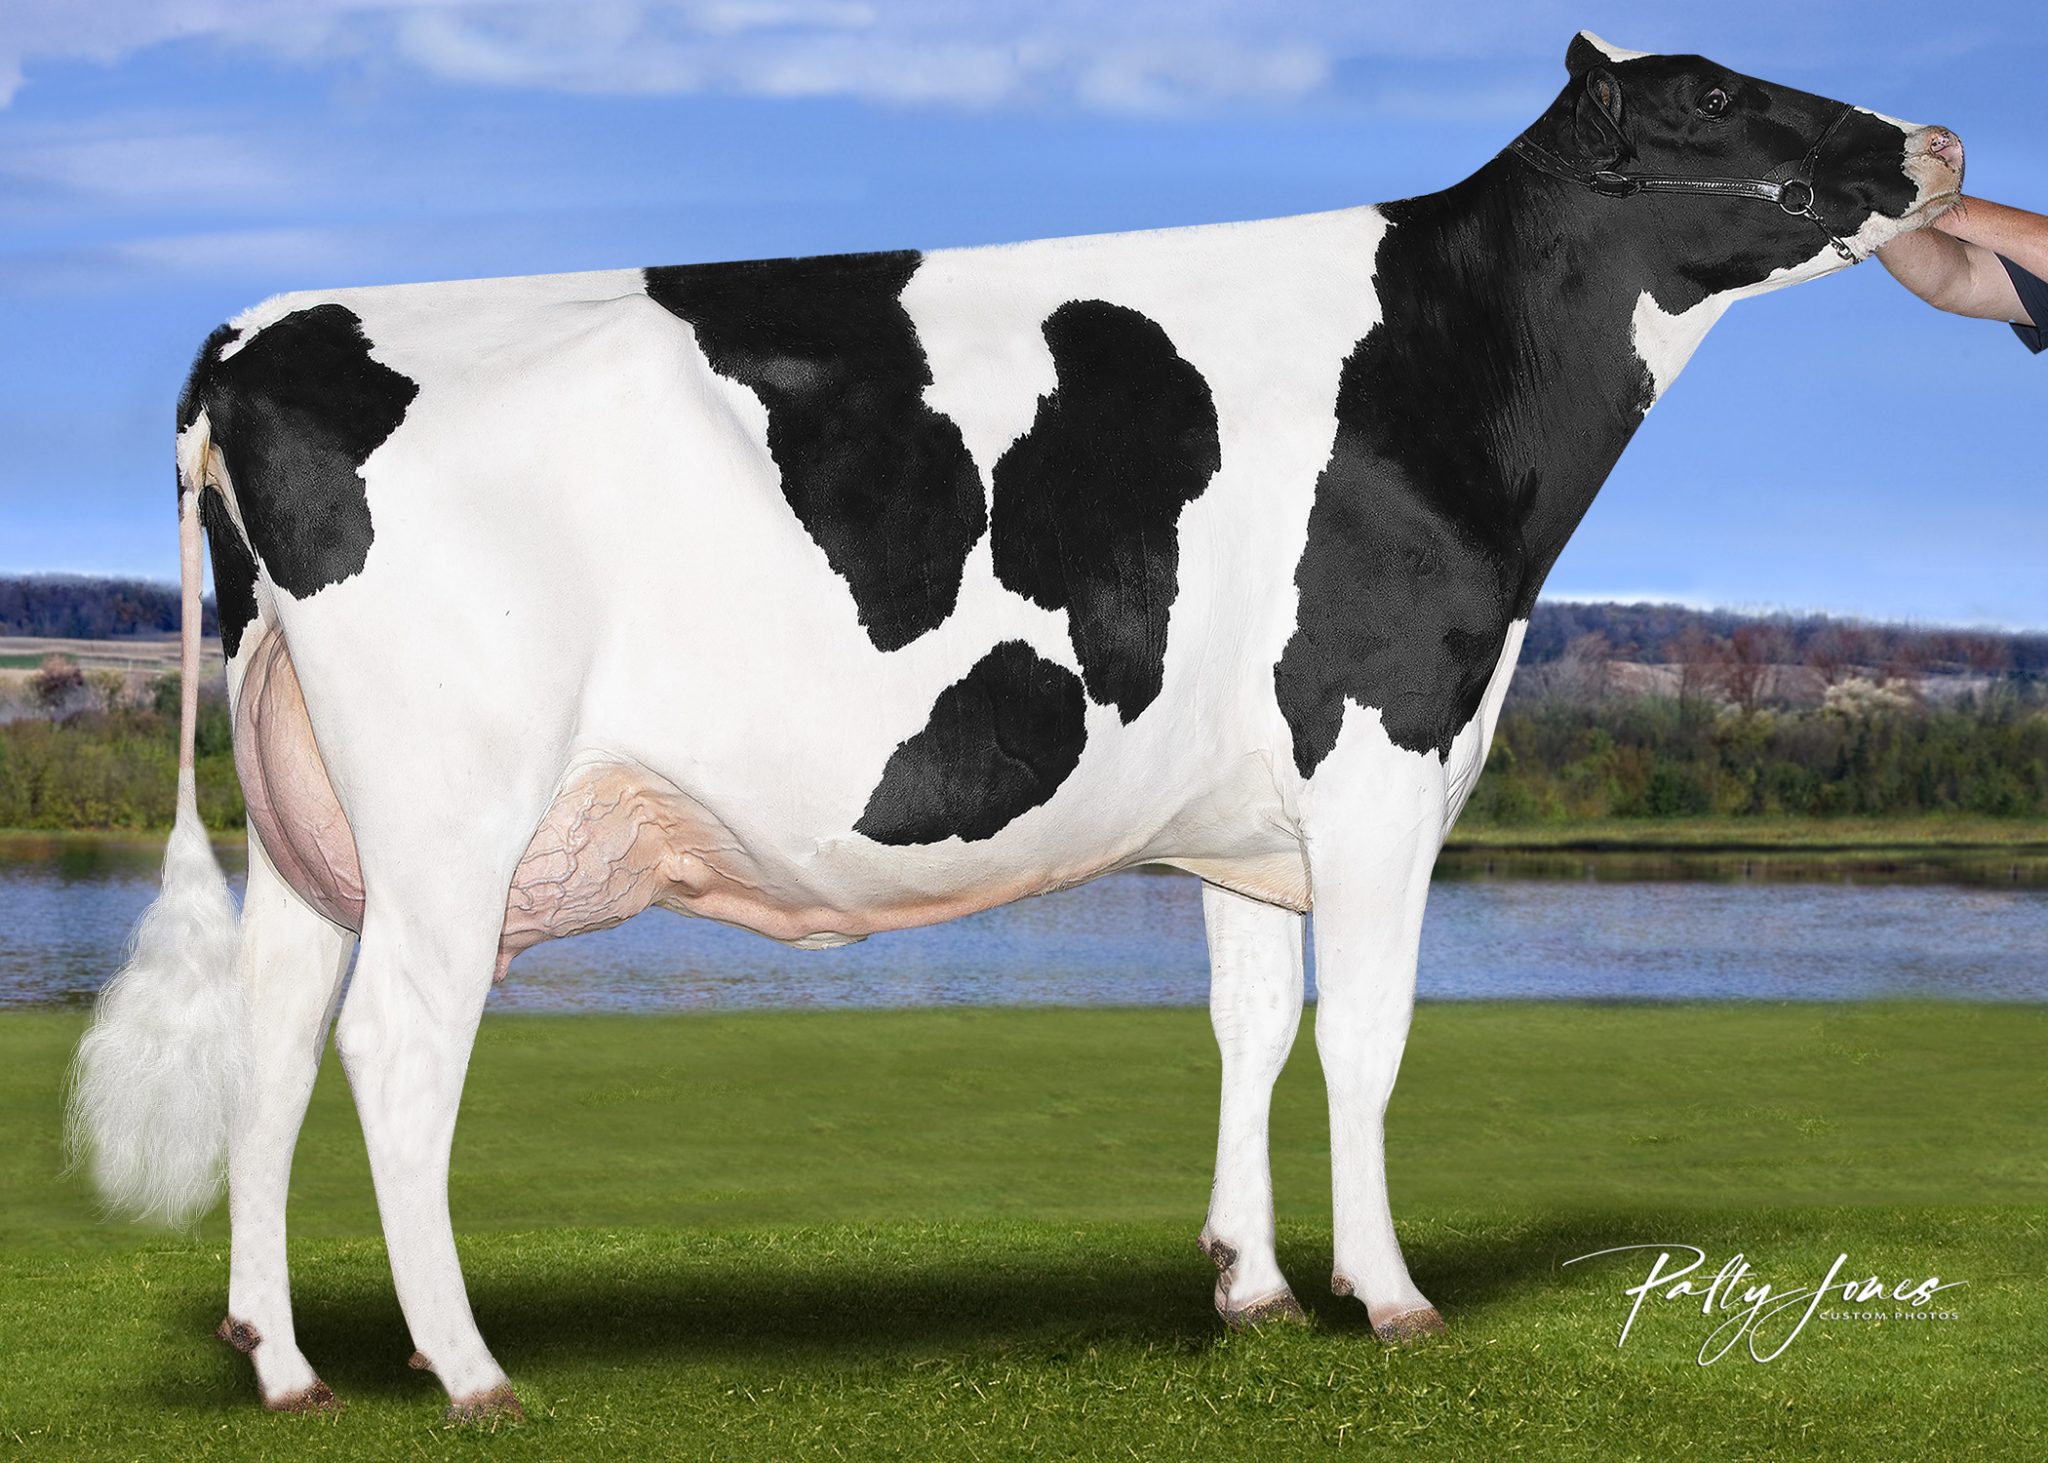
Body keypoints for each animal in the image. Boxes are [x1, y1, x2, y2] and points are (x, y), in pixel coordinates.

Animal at [71, 32, 1960, 1419]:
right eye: (1709, 95)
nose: (1932, 140)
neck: (1445, 374)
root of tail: (262, 330)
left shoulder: (1249, 818)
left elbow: (1251, 1026)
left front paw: (1253, 1282)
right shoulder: (1377, 751)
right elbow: (1364, 1038)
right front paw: (1390, 1292)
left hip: (311, 818)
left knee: (271, 1040)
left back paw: (283, 1361)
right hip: (451, 812)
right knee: (394, 1049)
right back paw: (465, 1368)